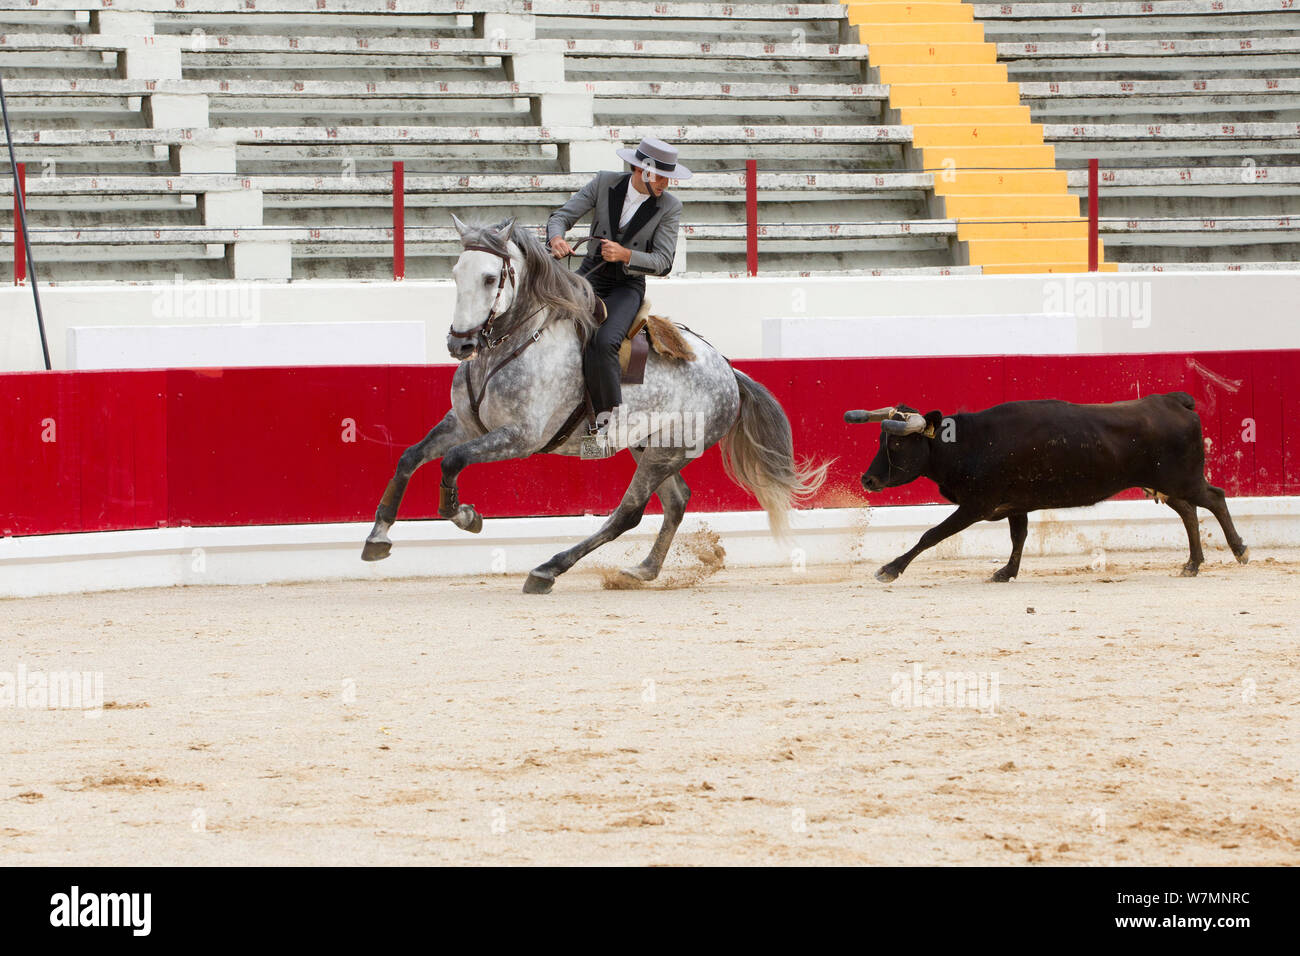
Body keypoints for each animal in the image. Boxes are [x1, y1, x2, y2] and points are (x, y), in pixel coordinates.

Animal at [361, 216, 828, 593]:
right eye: (457, 273)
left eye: (492, 278)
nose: (460, 344)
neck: (511, 346)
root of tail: (729, 371)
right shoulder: (463, 424)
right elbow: (410, 457)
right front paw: (377, 538)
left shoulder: (520, 437)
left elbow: (452, 461)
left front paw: (464, 515)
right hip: (652, 446)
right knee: (676, 501)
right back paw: (641, 571)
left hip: (666, 452)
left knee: (628, 513)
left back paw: (547, 571)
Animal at [844, 392, 1249, 583]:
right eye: (881, 441)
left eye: (897, 444)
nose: (868, 480)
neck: (968, 442)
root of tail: (1173, 401)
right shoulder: (1014, 506)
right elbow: (1018, 537)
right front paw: (1006, 572)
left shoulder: (976, 505)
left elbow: (931, 534)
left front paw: (890, 569)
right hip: (1165, 484)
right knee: (1189, 511)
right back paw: (1192, 564)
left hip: (1182, 479)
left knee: (1214, 499)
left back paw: (1239, 550)